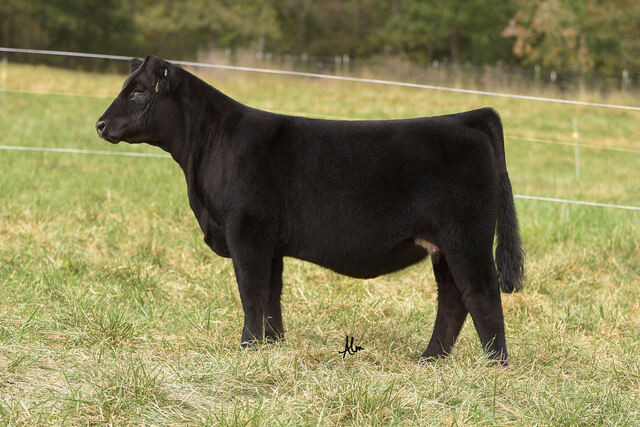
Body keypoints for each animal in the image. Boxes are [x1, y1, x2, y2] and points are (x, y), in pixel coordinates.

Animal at [96, 55, 525, 365]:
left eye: (137, 91)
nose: (100, 125)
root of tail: (466, 118)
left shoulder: (247, 231)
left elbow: (250, 290)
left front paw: (247, 347)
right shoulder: (269, 241)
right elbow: (271, 294)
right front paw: (271, 345)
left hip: (466, 238)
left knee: (482, 292)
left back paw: (494, 364)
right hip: (442, 245)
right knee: (453, 299)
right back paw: (430, 358)